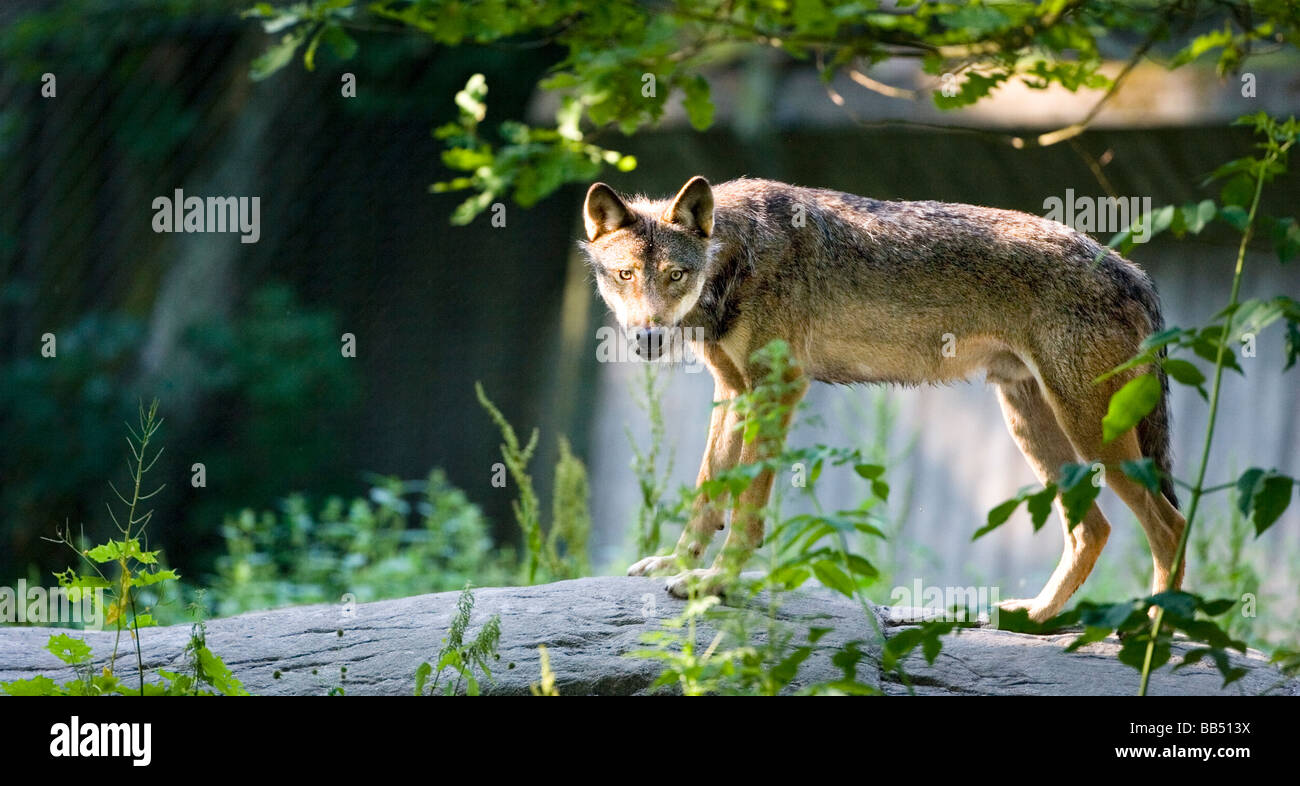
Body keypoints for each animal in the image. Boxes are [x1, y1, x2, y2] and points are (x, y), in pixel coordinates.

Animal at [580, 176, 1186, 622]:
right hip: (1031, 426)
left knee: (1170, 525)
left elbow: (747, 507)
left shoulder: (779, 388)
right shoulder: (733, 392)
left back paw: (1158, 632)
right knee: (1094, 529)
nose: (648, 337)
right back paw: (1036, 615)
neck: (736, 254)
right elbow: (708, 493)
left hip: (1091, 430)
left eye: (675, 275)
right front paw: (675, 564)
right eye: (625, 275)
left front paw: (716, 583)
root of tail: (1131, 268)